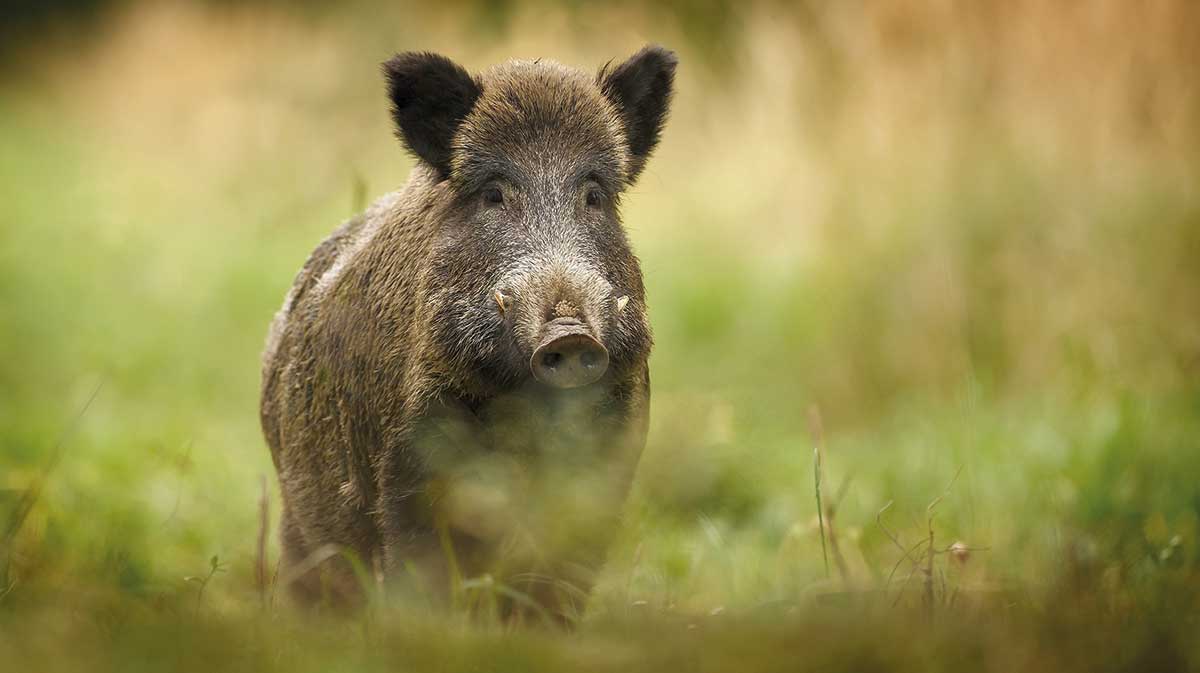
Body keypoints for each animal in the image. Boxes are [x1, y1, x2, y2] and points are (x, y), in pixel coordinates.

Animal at [260, 46, 675, 622]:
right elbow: (423, 572)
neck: (527, 416)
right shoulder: (410, 462)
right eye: (494, 194)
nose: (569, 334)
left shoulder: (610, 459)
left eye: (594, 196)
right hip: (300, 522)